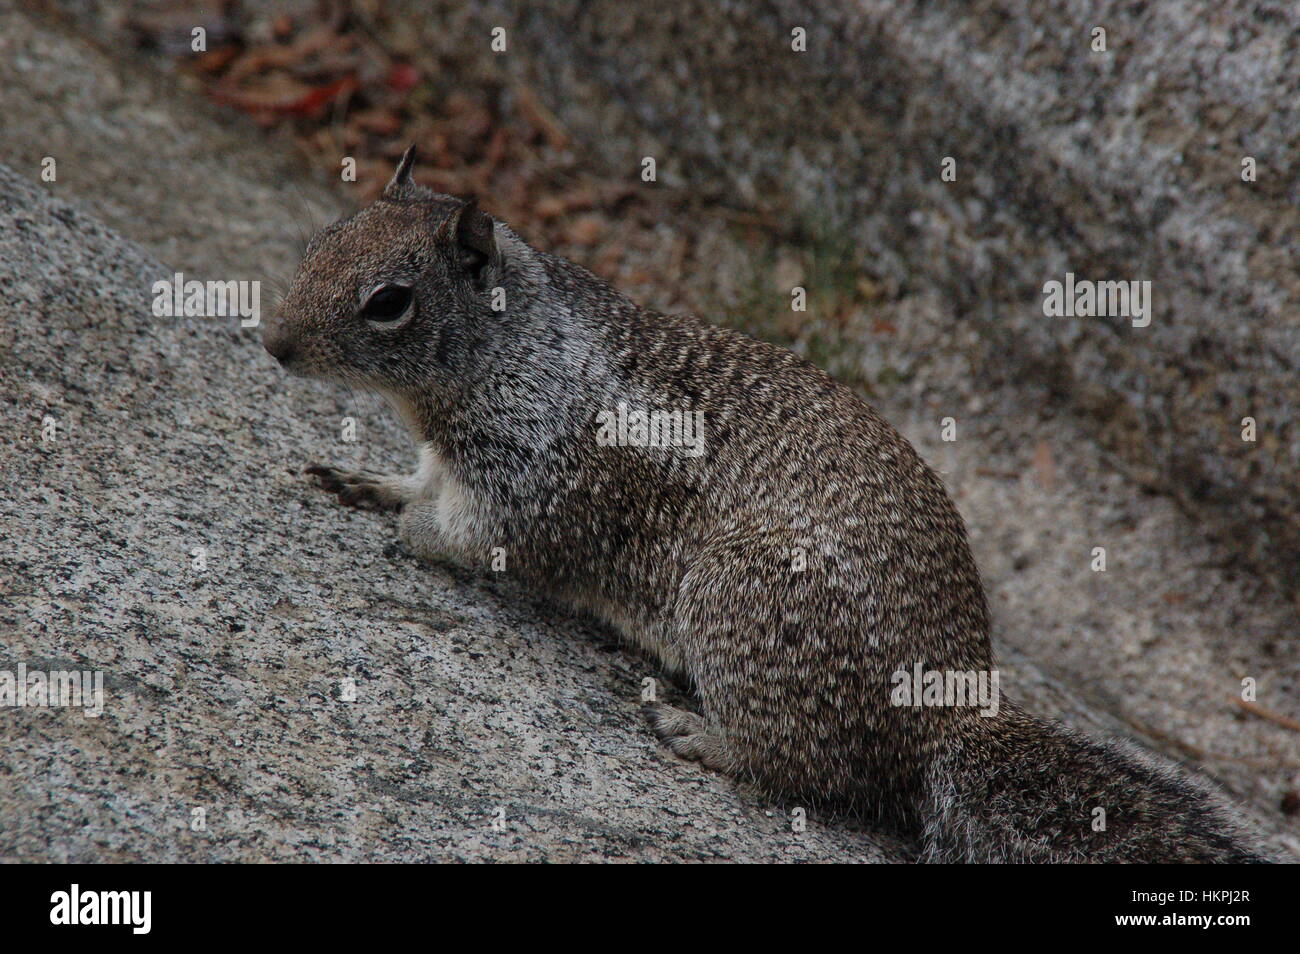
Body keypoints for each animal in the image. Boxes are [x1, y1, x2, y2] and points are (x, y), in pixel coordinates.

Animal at [263, 146, 1266, 862]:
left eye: (389, 302)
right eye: (320, 239)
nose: (272, 344)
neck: (513, 349)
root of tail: (945, 712)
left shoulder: (533, 486)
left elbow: (475, 538)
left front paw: (411, 529)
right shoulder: (454, 457)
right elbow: (420, 480)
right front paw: (370, 484)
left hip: (739, 599)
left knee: (800, 767)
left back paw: (697, 732)